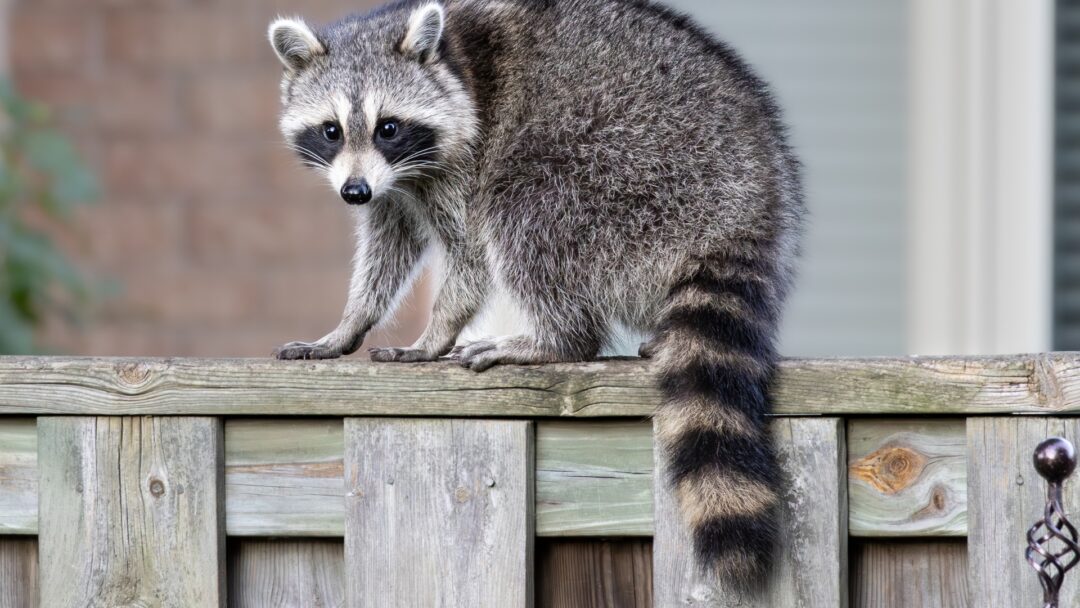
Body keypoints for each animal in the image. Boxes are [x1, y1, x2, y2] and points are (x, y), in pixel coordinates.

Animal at [269, 0, 803, 587]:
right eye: (331, 130)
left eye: (389, 127)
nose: (353, 192)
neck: (450, 62)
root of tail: (750, 211)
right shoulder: (394, 188)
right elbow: (388, 245)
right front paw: (349, 323)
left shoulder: (469, 153)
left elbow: (471, 252)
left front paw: (436, 331)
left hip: (637, 173)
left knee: (525, 202)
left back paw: (555, 339)